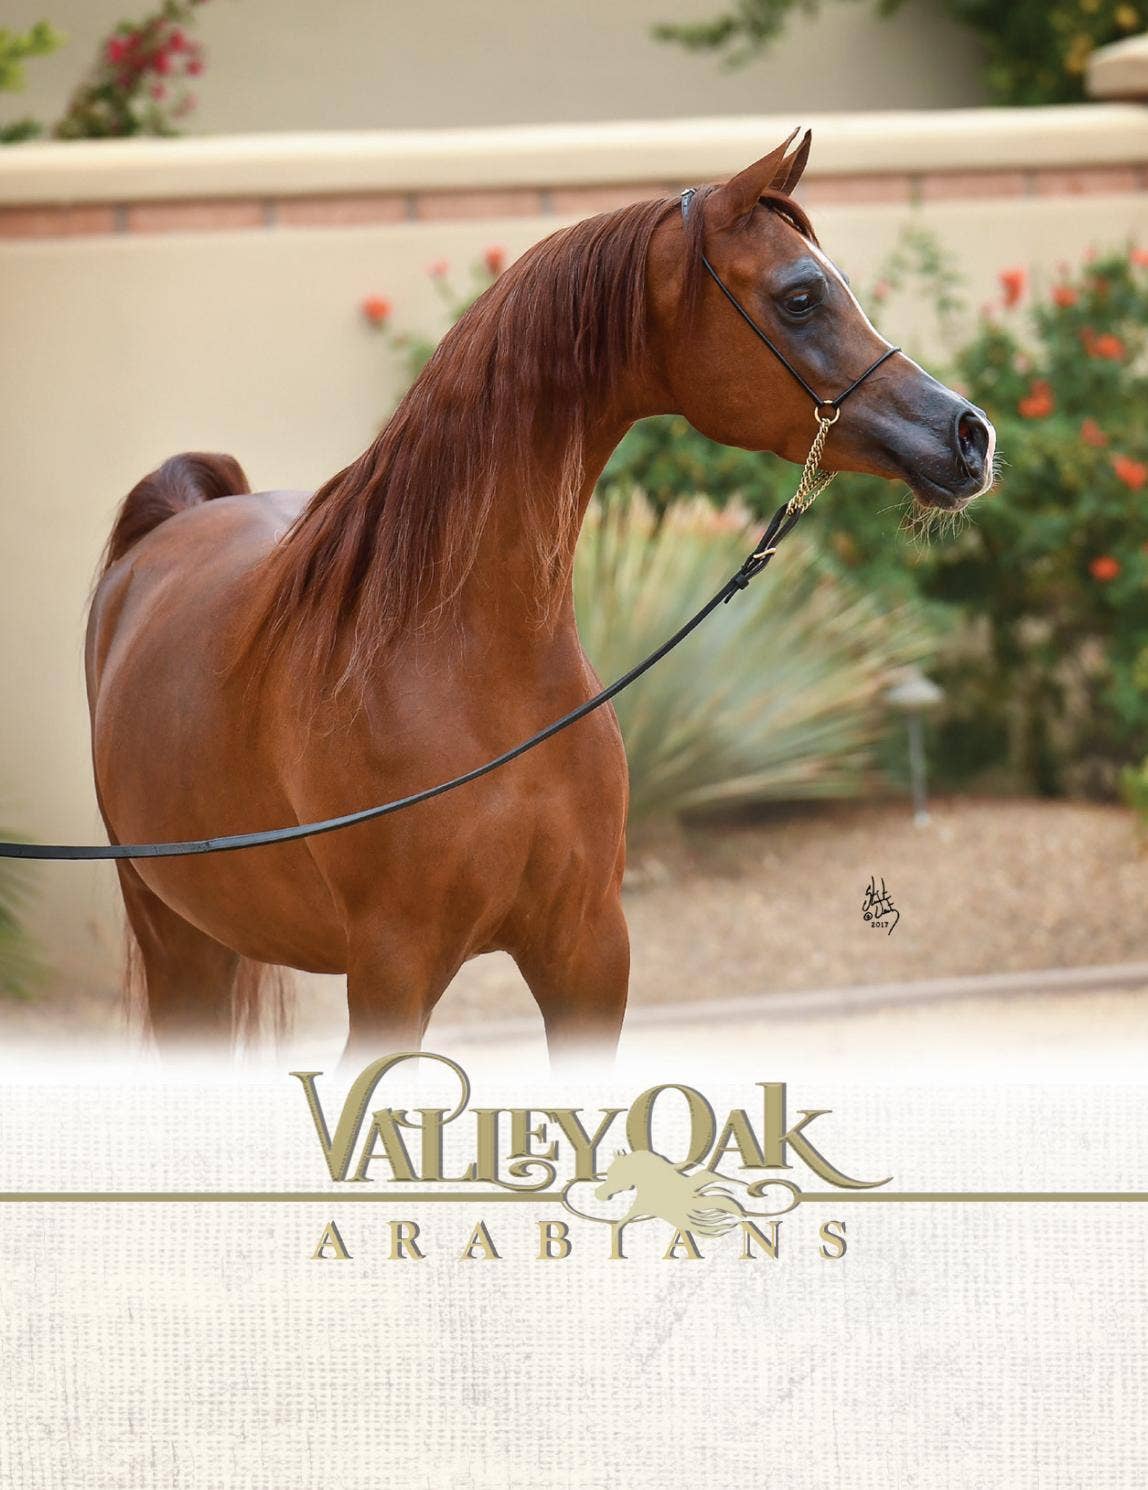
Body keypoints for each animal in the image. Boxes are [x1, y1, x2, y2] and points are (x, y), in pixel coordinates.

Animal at [85, 128, 994, 1066]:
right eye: (802, 296)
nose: (969, 435)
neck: (465, 669)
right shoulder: (392, 970)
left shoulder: (587, 950)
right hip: (175, 937)